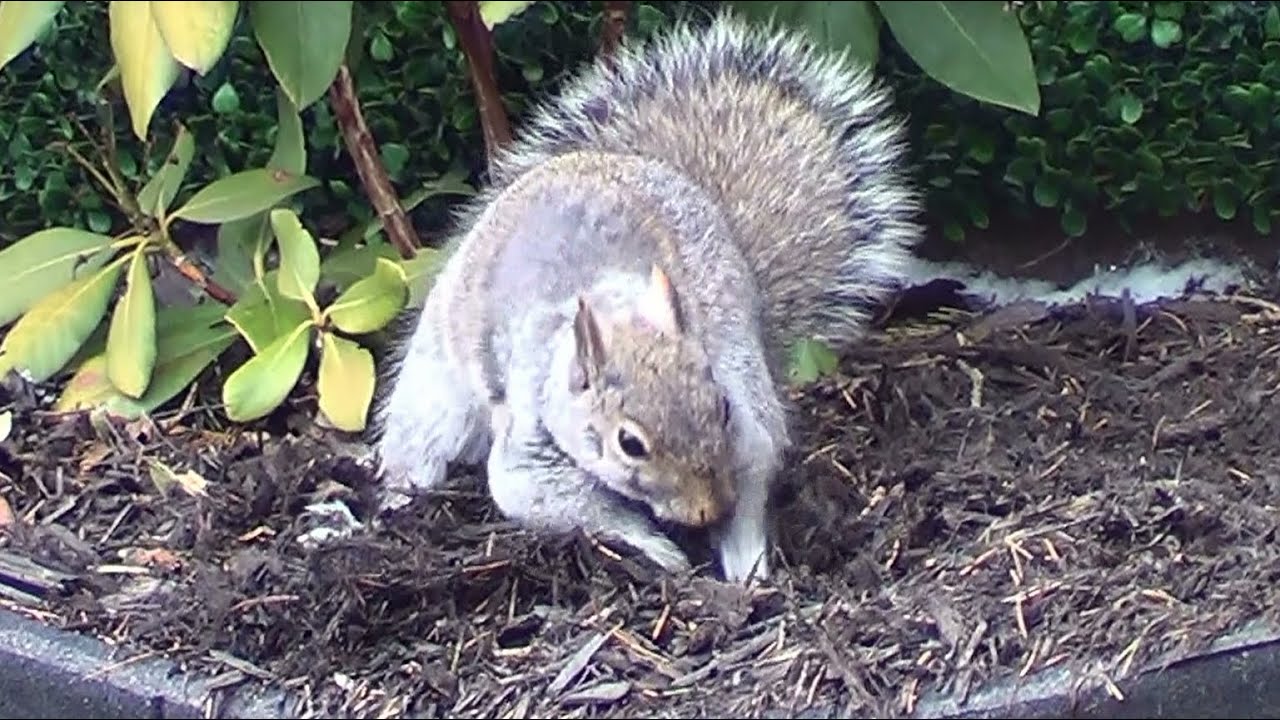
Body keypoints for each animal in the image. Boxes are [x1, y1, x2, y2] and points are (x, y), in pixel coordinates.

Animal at [370, 9, 922, 583]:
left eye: (721, 407)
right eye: (629, 444)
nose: (706, 510)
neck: (614, 307)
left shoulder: (743, 415)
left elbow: (754, 470)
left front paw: (745, 561)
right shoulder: (531, 440)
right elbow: (553, 498)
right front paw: (653, 547)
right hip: (437, 379)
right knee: (422, 430)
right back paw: (401, 491)